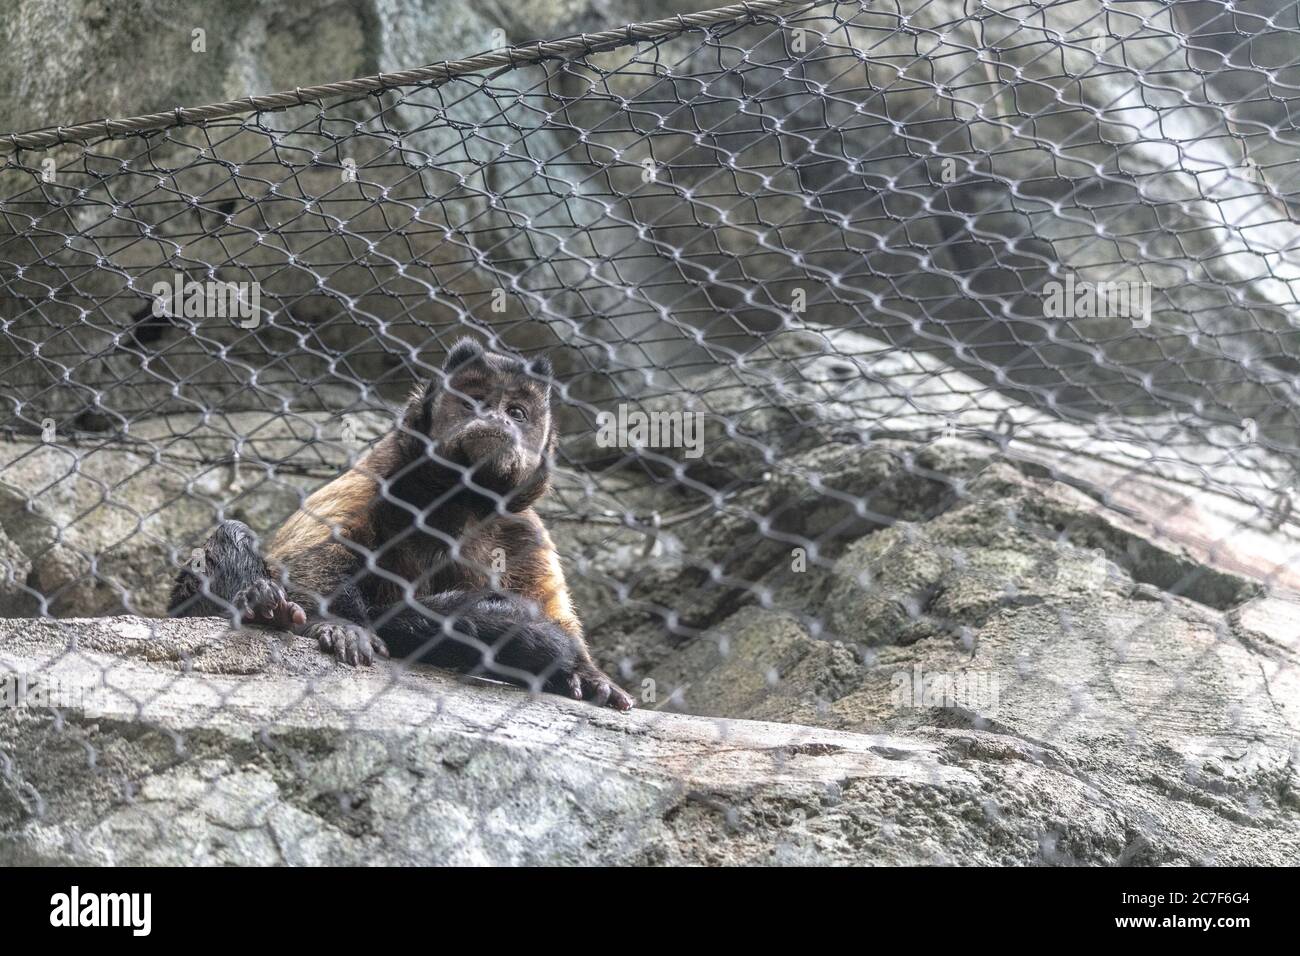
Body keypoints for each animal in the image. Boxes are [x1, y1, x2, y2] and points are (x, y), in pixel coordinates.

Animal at [168, 338, 634, 711]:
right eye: (475, 400)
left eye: (516, 412)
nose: (496, 418)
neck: (456, 497)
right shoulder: (376, 476)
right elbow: (311, 553)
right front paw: (338, 625)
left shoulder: (522, 528)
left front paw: (588, 674)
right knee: (234, 535)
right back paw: (265, 608)